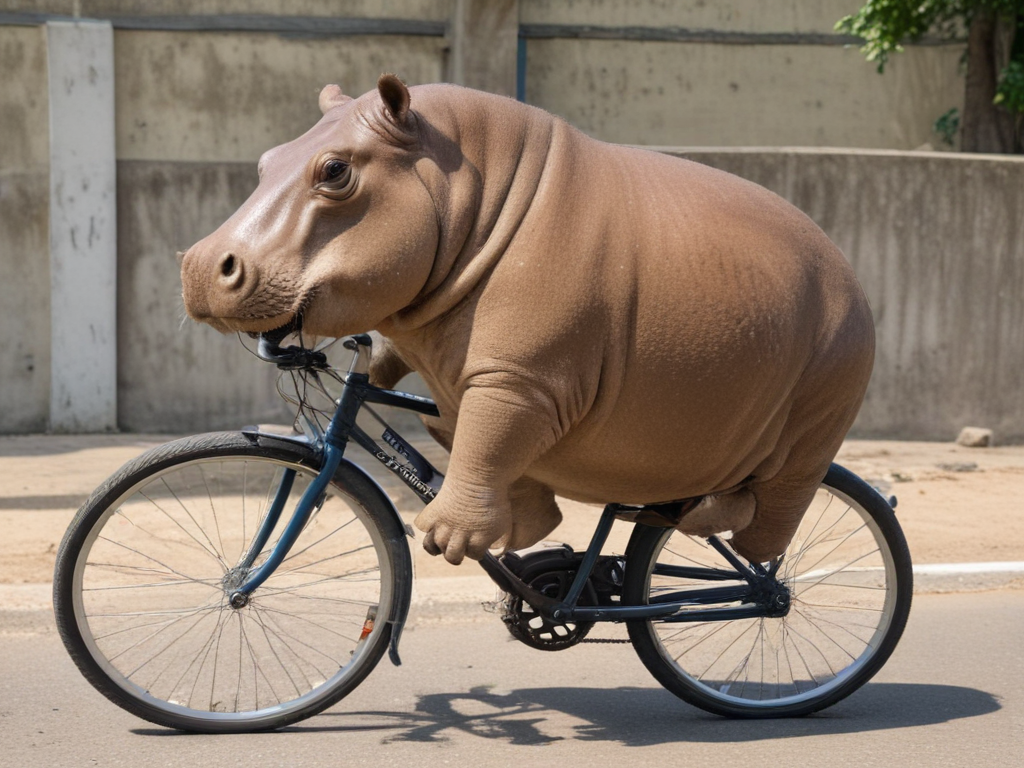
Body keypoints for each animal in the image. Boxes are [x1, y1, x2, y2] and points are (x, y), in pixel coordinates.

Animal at [180, 74, 875, 566]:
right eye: (267, 159)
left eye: (335, 169)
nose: (198, 264)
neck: (466, 182)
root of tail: (851, 270)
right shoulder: (480, 371)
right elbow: (467, 430)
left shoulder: (522, 379)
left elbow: (489, 439)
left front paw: (445, 538)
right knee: (467, 435)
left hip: (819, 412)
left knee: (774, 517)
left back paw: (716, 533)